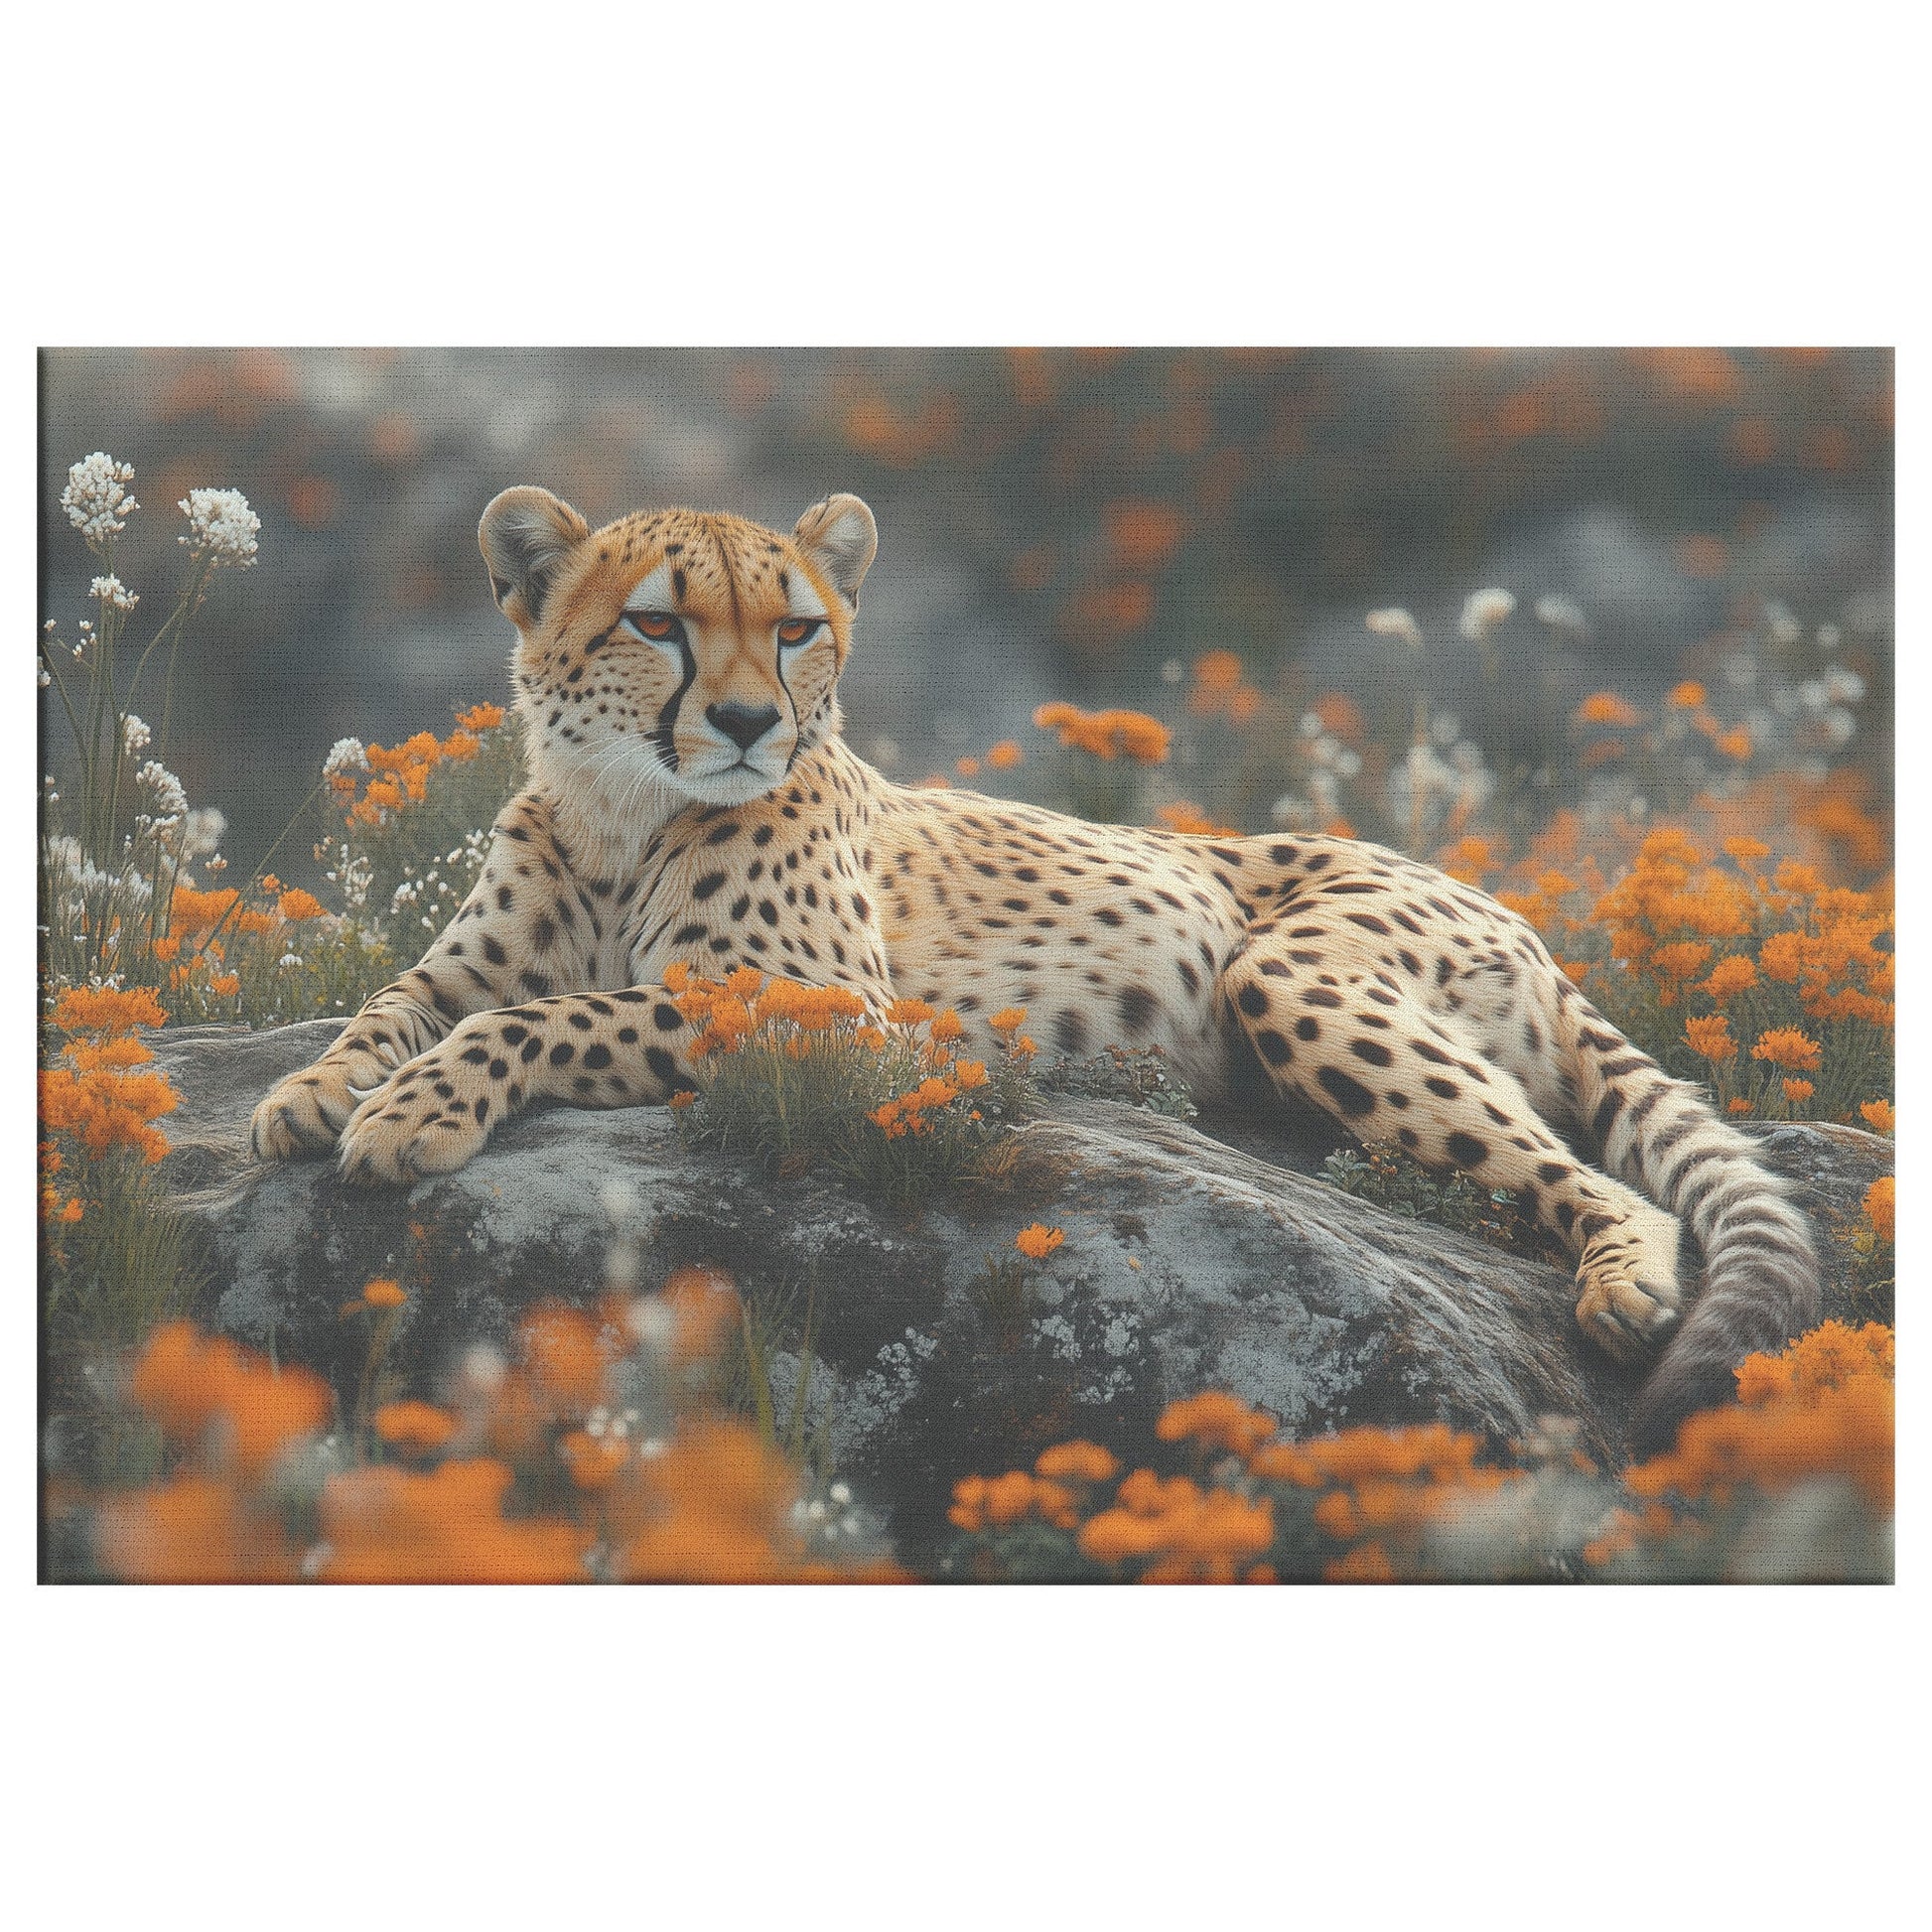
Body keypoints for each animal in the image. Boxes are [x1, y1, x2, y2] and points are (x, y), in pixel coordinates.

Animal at [251, 483, 1821, 1452]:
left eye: (797, 627)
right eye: (655, 622)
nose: (753, 723)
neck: (619, 807)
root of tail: (1516, 912)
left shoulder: (826, 1011)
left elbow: (552, 1017)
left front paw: (413, 1112)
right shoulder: (471, 965)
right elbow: (393, 1002)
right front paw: (313, 1092)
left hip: (1297, 978)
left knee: (1603, 1177)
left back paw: (1620, 1281)